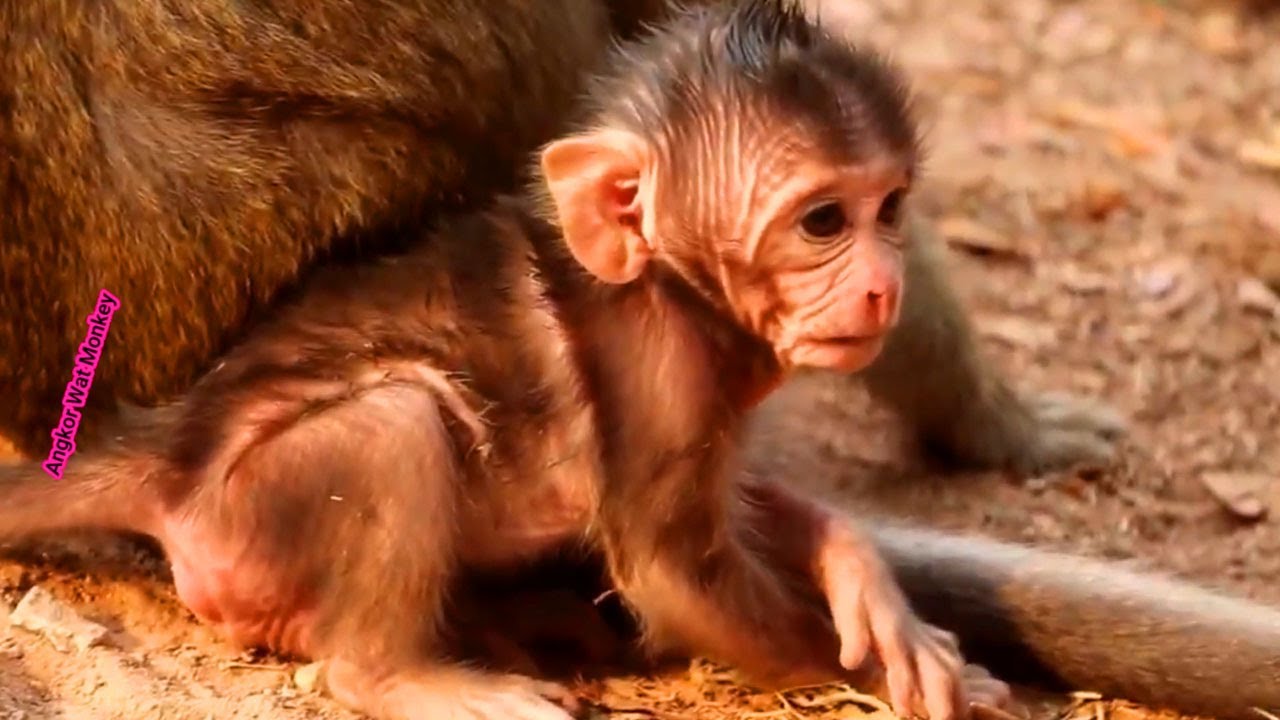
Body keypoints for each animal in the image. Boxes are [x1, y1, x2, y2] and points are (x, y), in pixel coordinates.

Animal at [0, 3, 1018, 720]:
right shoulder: (663, 362)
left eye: (889, 207)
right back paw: (407, 676)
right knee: (399, 421)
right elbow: (673, 574)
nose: (883, 286)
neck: (670, 283)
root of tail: (169, 454)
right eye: (823, 222)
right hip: (251, 506)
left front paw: (871, 588)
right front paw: (894, 670)